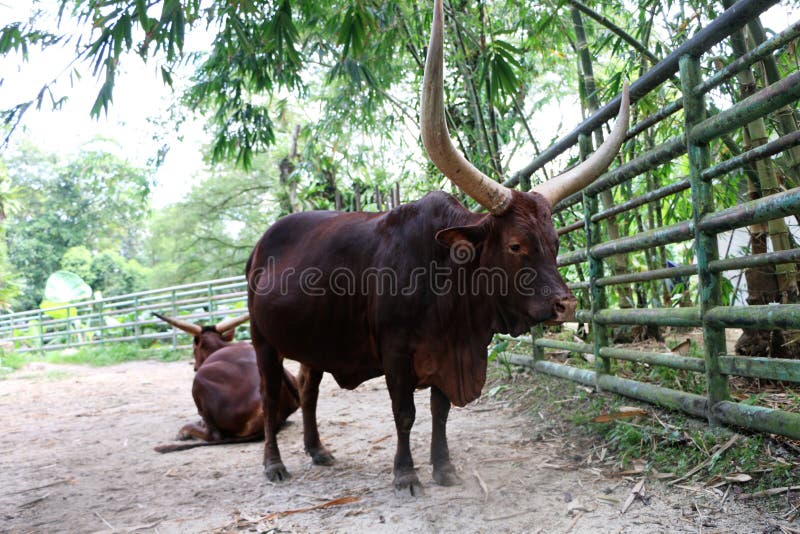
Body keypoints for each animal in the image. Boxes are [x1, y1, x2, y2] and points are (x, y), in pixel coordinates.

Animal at [246, 0, 629, 494]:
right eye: (515, 244)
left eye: (555, 241)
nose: (565, 305)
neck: (447, 278)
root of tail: (260, 246)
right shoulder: (396, 356)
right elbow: (405, 413)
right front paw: (406, 473)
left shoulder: (450, 354)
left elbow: (440, 412)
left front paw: (443, 467)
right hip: (262, 341)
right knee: (271, 395)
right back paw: (274, 464)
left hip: (313, 340)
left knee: (309, 389)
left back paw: (318, 450)